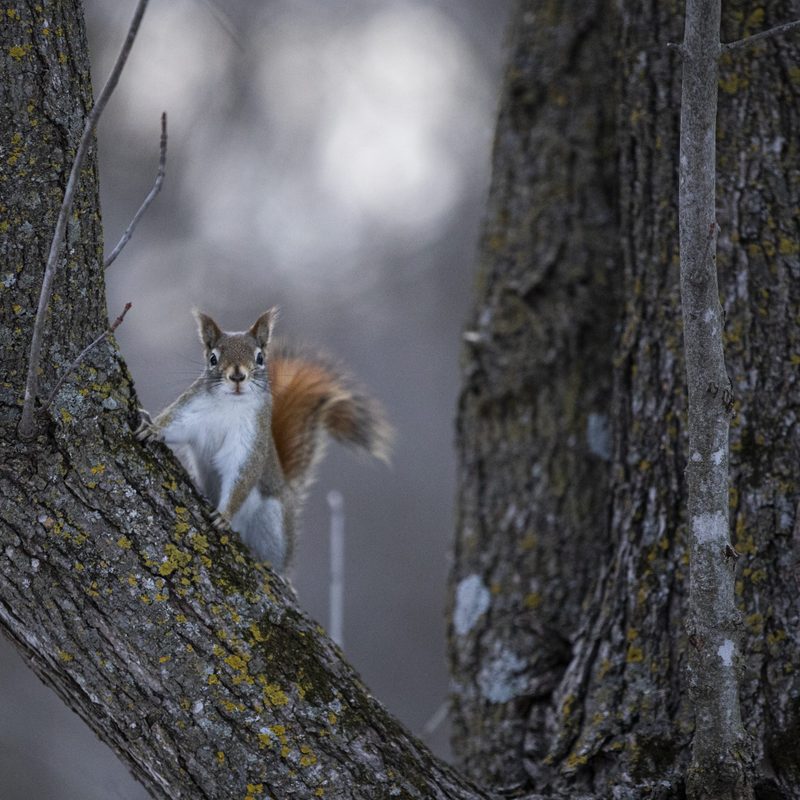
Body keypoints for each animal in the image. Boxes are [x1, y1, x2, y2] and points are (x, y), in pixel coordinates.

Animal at [136, 308, 391, 572]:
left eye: (260, 357)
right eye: (213, 359)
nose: (238, 376)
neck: (230, 404)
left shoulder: (250, 439)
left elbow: (242, 474)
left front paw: (224, 516)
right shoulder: (191, 412)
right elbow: (173, 424)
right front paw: (152, 429)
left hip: (272, 521)